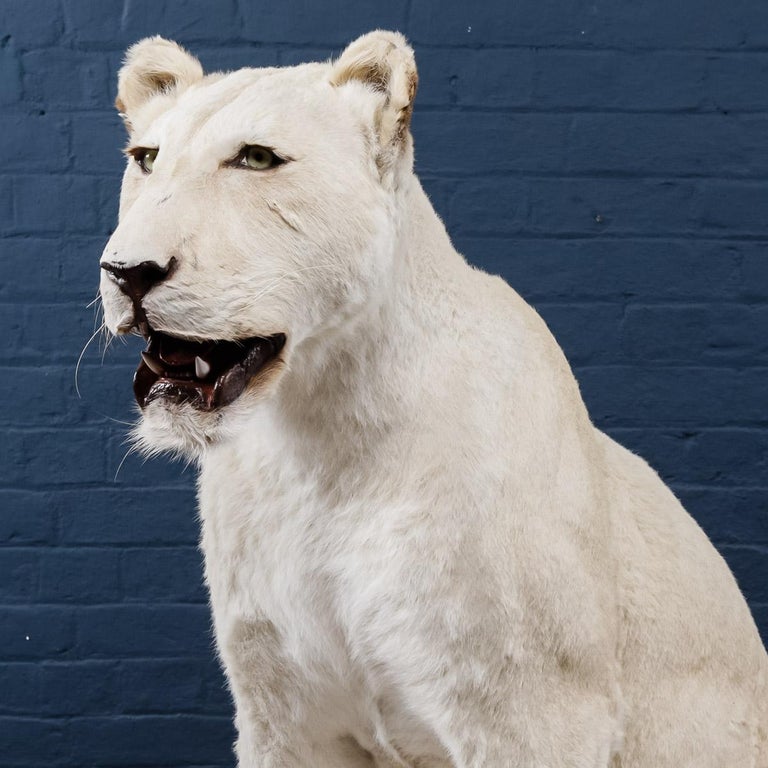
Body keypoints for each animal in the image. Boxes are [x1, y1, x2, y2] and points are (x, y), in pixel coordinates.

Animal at [98, 31, 767, 768]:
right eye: (146, 159)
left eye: (257, 158)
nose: (127, 272)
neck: (320, 443)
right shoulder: (283, 710)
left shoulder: (537, 712)